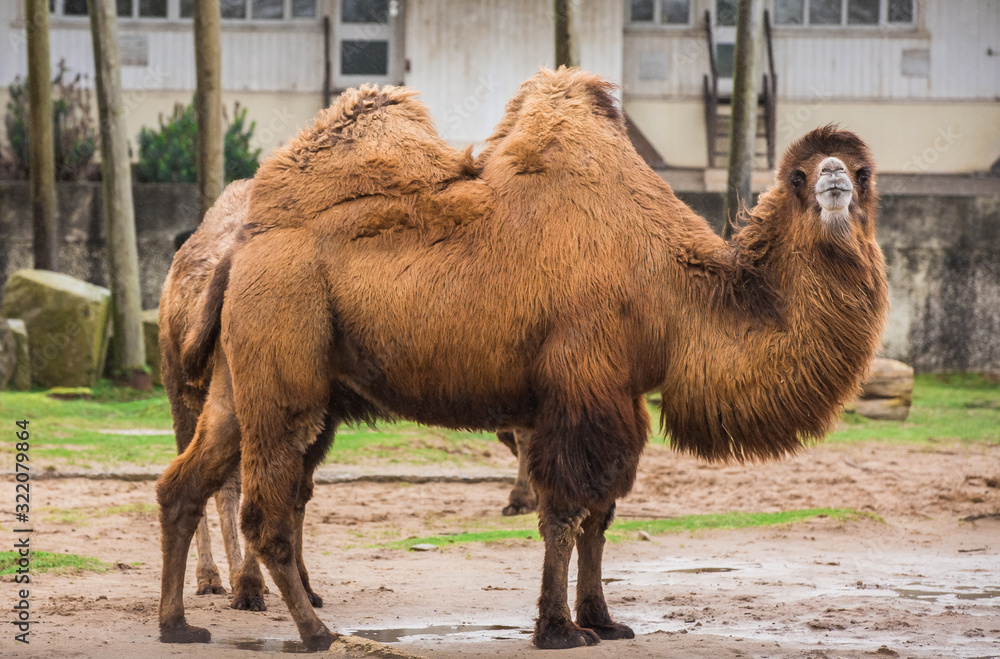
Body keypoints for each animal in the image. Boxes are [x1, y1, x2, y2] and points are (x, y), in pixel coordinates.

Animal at [156, 68, 888, 650]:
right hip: (285, 365)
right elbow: (566, 512)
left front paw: (602, 620)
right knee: (265, 507)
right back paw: (314, 631)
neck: (671, 287)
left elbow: (600, 515)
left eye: (862, 172)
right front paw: (559, 628)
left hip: (241, 377)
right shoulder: (583, 389)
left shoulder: (608, 398)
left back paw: (178, 623)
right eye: (799, 175)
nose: (832, 180)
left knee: (185, 481)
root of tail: (239, 246)